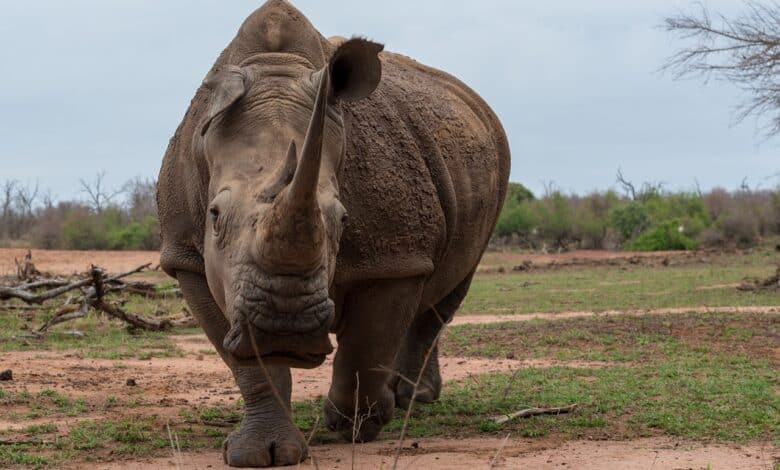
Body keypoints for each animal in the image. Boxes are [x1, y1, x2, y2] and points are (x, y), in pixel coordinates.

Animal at [157, 1, 510, 466]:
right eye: (214, 215)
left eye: (343, 219)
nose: (284, 326)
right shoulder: (187, 257)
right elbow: (248, 364)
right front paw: (260, 452)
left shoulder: (395, 256)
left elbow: (366, 344)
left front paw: (356, 424)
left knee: (448, 288)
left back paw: (411, 399)